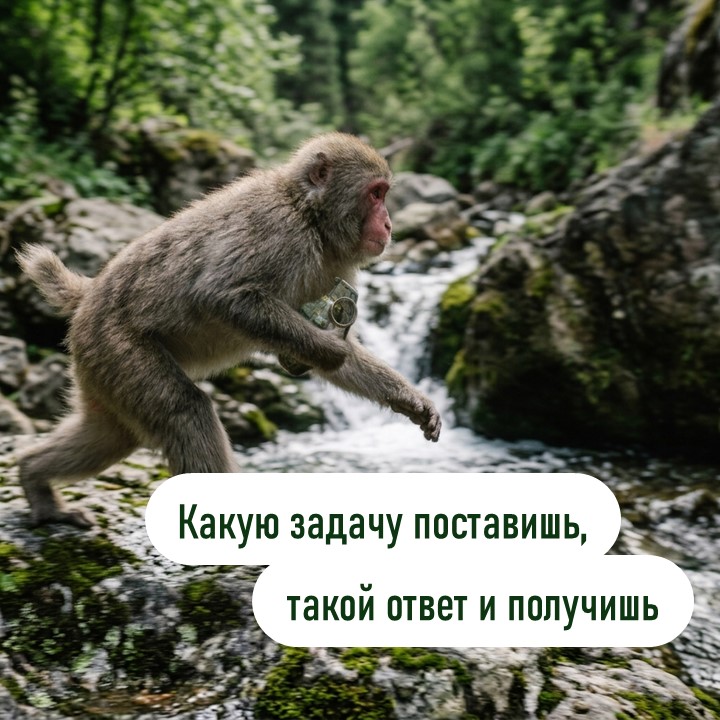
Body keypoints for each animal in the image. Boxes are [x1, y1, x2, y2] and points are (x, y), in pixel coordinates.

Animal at [15, 132, 441, 528]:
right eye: (376, 194)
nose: (388, 223)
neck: (310, 216)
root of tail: (87, 296)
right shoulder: (279, 231)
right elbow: (222, 296)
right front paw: (325, 350)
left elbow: (344, 352)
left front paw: (410, 399)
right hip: (112, 345)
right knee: (184, 411)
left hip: (99, 367)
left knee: (108, 436)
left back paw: (34, 478)